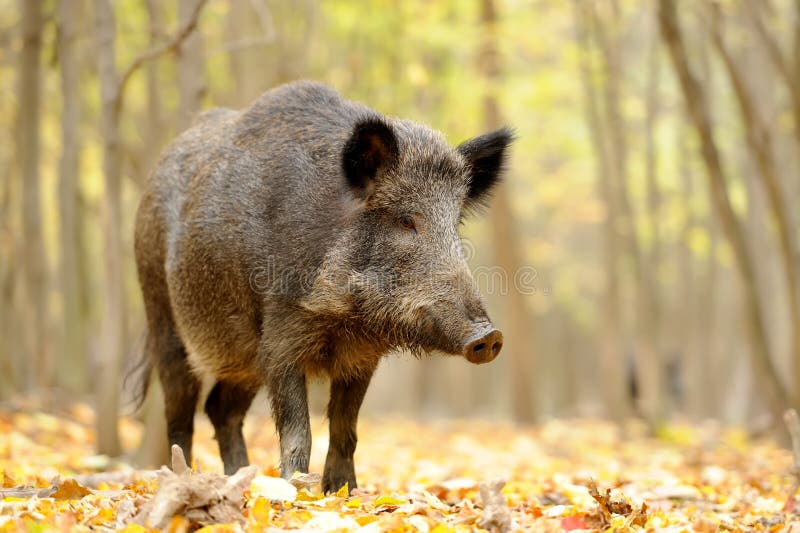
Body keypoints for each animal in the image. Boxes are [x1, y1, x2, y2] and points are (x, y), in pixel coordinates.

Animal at [133, 81, 512, 493]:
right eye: (406, 219)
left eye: (455, 222)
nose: (489, 336)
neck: (346, 317)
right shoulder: (281, 338)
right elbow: (299, 431)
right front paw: (297, 490)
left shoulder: (361, 356)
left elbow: (346, 429)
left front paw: (344, 492)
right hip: (161, 312)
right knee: (180, 409)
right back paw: (181, 477)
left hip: (243, 357)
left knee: (221, 408)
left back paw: (241, 478)